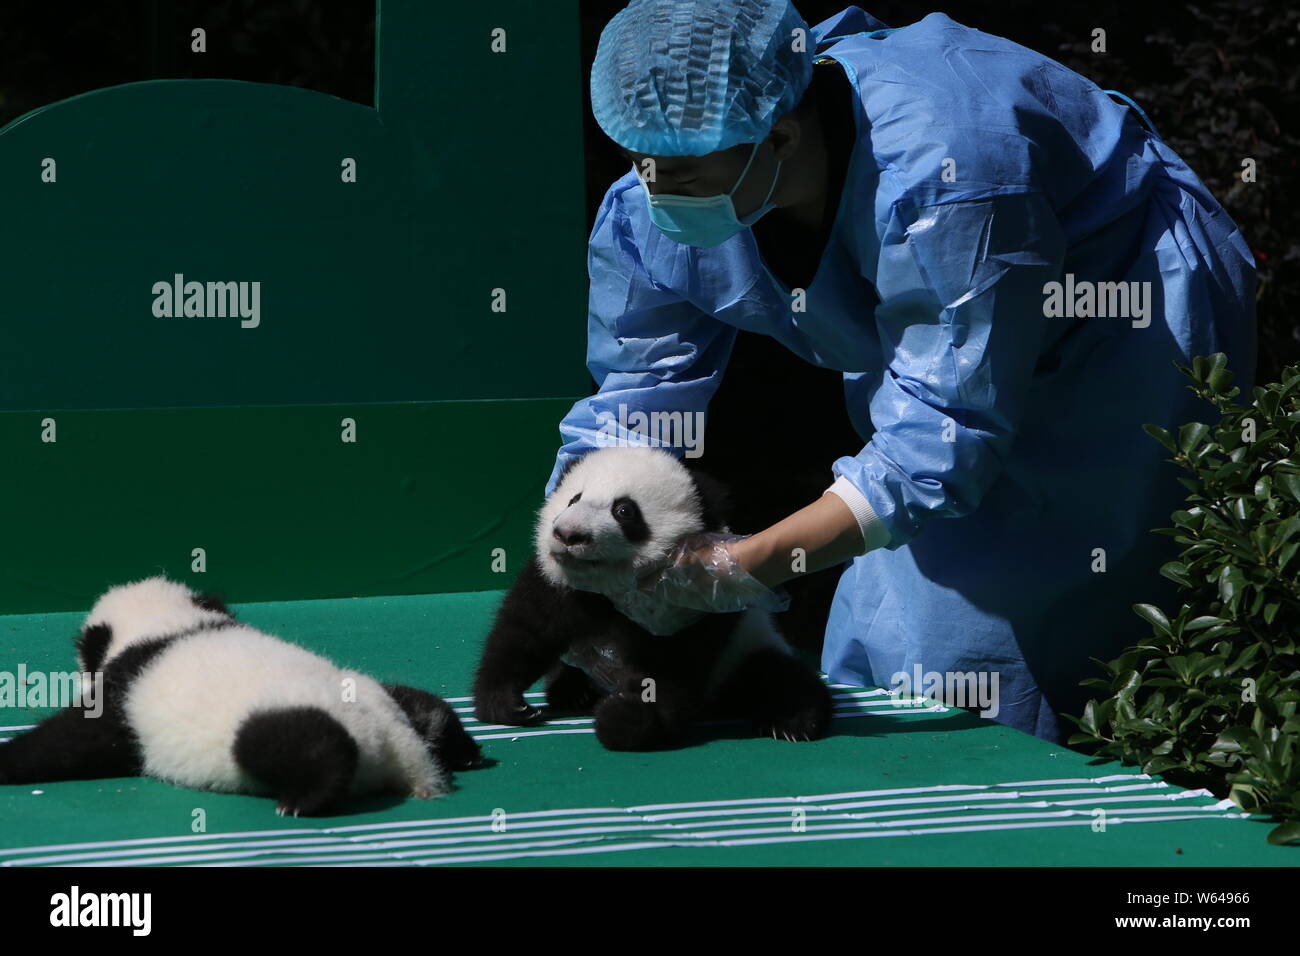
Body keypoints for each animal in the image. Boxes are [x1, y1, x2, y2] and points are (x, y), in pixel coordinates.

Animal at [0, 576, 481, 816]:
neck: (167, 623)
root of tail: (407, 757)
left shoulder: (123, 694)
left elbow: (72, 738)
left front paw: (9, 760)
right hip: (373, 692)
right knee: (422, 705)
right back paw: (464, 750)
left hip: (279, 723)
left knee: (303, 744)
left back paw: (302, 799)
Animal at [474, 445, 833, 751]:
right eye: (573, 499)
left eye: (624, 510)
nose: (568, 534)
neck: (609, 589)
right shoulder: (557, 583)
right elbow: (525, 630)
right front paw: (507, 703)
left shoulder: (695, 604)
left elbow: (669, 669)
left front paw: (624, 719)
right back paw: (573, 690)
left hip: (748, 647)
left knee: (777, 675)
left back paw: (792, 721)